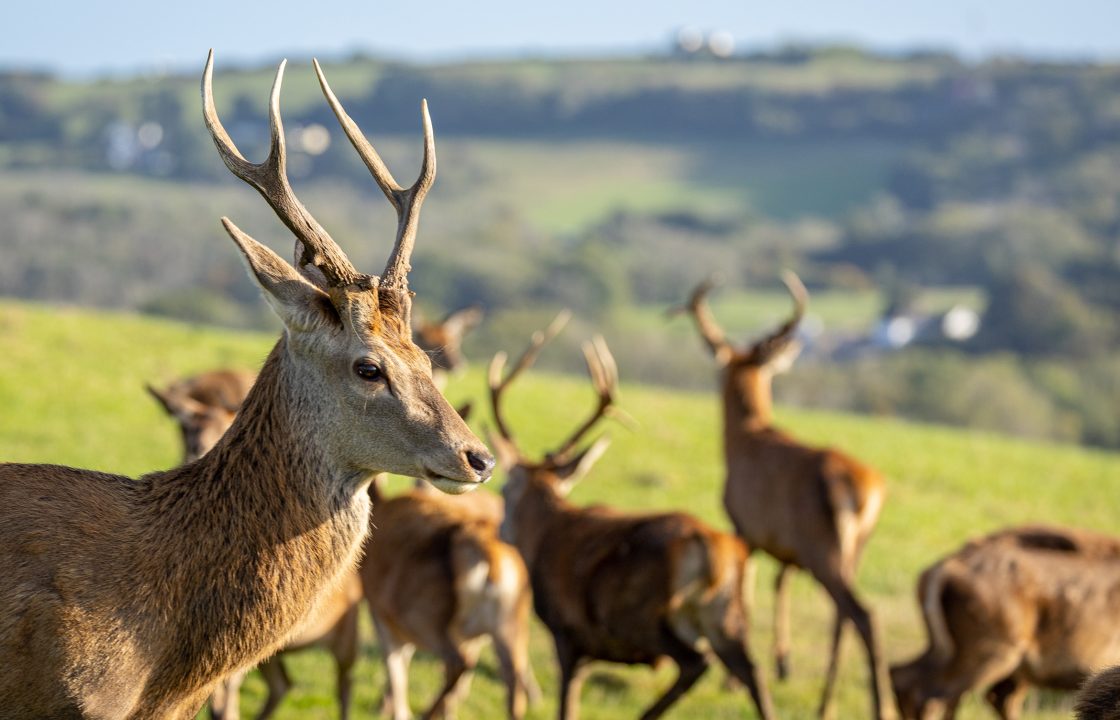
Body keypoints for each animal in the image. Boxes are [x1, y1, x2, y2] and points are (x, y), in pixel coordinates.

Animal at [147, 377, 363, 720]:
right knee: (282, 684)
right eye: (185, 428)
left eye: (226, 426)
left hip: (347, 638)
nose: (196, 449)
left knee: (344, 684)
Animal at [362, 478, 539, 720]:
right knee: (513, 677)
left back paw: (427, 713)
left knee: (458, 661)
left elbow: (396, 670)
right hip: (511, 621)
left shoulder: (380, 613)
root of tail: (489, 557)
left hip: (423, 617)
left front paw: (395, 710)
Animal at [488, 315, 776, 720]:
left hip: (644, 614)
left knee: (695, 662)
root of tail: (711, 548)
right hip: (725, 615)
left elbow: (567, 701)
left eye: (504, 491)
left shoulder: (568, 628)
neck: (543, 534)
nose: (500, 529)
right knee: (751, 670)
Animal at [670, 273, 891, 720]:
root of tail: (864, 491)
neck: (744, 439)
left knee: (862, 614)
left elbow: (749, 587)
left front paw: (734, 680)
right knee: (843, 616)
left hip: (822, 546)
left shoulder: (744, 524)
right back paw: (828, 703)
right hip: (853, 548)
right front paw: (782, 663)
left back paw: (869, 707)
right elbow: (780, 583)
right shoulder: (786, 546)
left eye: (721, 369)